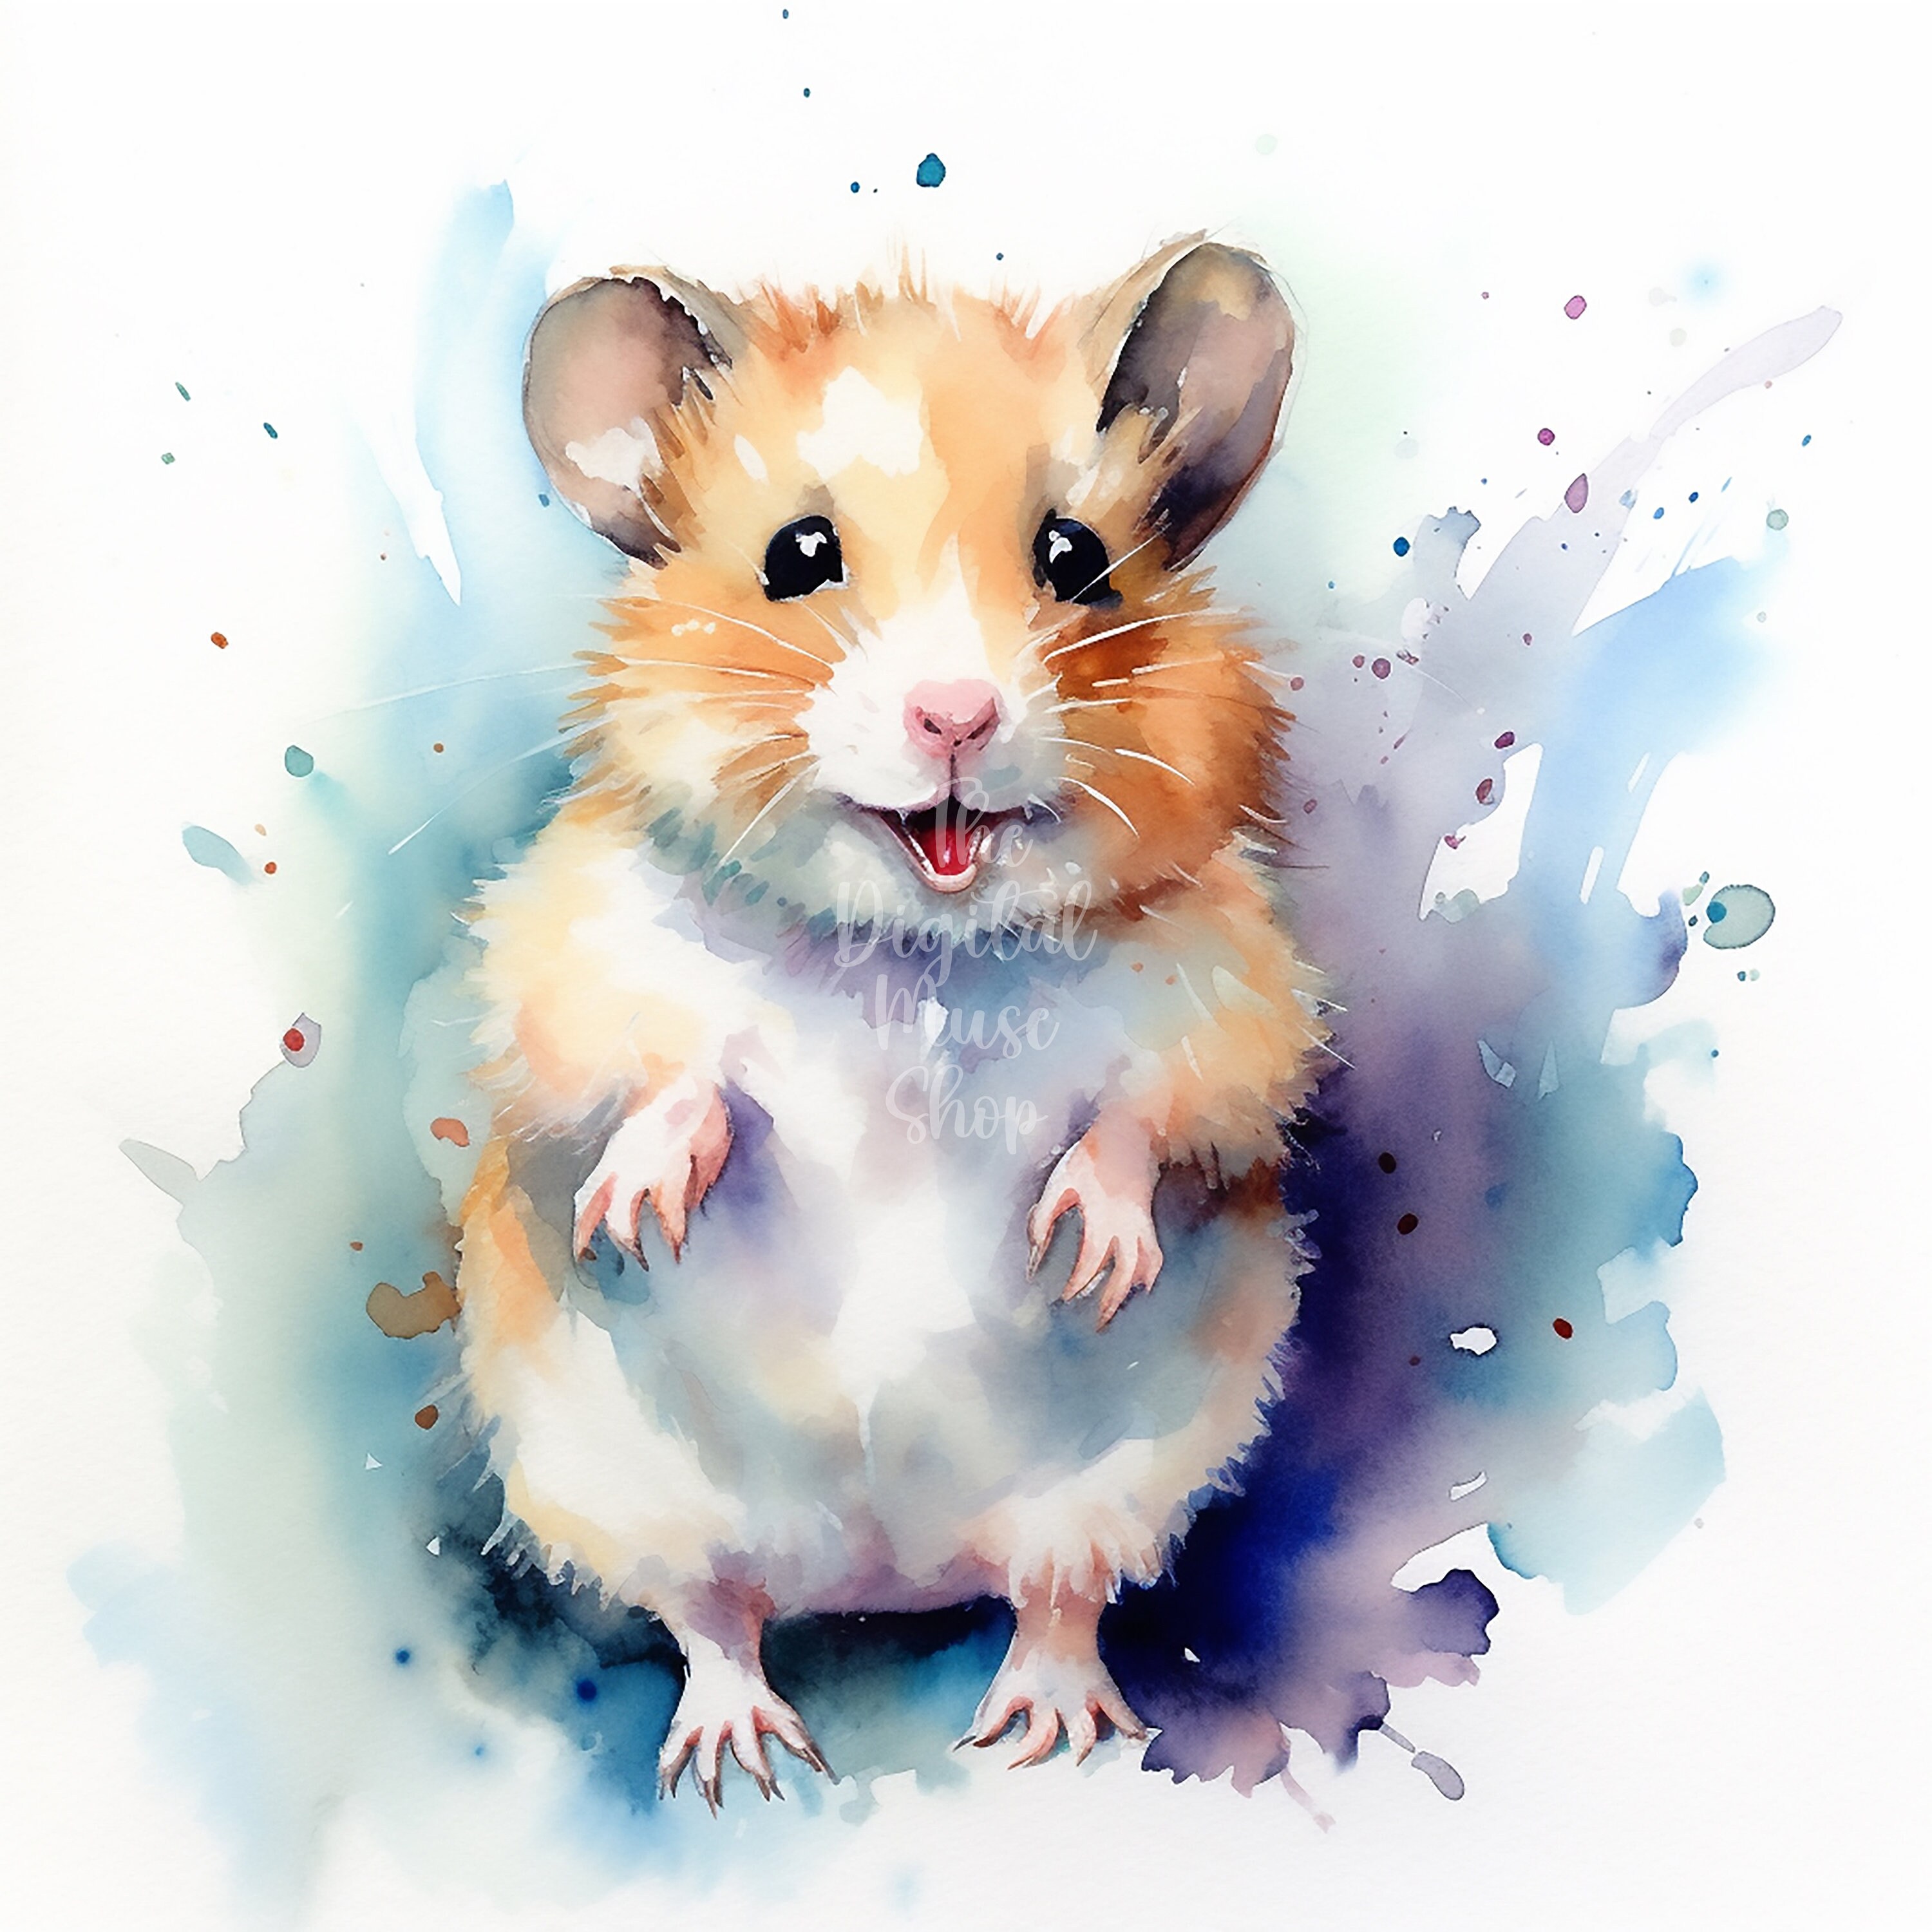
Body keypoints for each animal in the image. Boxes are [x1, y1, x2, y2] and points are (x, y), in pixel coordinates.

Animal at [454, 238, 1328, 1808]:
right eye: (797, 558)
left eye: (1076, 559)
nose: (955, 716)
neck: (917, 955)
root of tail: (884, 1573)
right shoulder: (585, 955)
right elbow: (665, 1073)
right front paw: (638, 1215)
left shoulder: (1226, 990)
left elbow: (1147, 1114)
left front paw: (1088, 1258)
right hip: (612, 1473)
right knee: (713, 1616)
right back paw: (743, 1760)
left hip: (1127, 1474)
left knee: (1058, 1596)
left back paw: (1047, 1728)